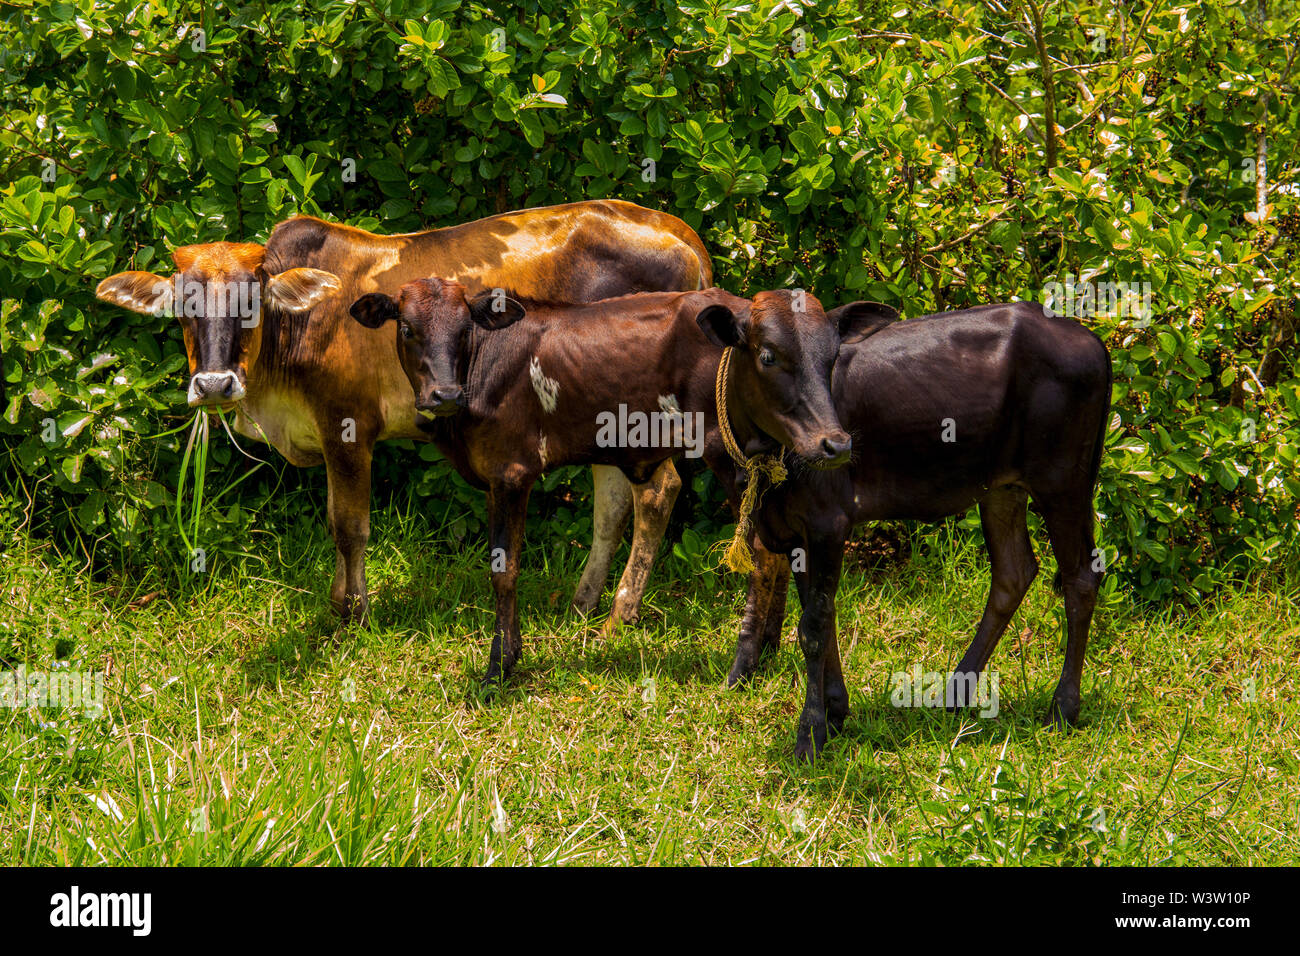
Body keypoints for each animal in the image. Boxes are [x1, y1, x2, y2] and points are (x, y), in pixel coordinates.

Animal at [94, 200, 710, 625]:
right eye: (183, 303)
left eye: (252, 301)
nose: (215, 383)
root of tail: (675, 231)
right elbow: (335, 523)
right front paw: (340, 604)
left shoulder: (348, 426)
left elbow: (350, 528)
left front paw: (354, 614)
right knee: (613, 504)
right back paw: (583, 605)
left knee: (658, 494)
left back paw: (617, 617)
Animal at [347, 279, 884, 685]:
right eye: (408, 328)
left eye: (463, 330)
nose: (444, 394)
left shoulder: (511, 473)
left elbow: (504, 570)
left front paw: (500, 667)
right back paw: (766, 650)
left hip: (727, 455)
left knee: (760, 555)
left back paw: (744, 665)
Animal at [712, 301, 1112, 760]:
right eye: (768, 356)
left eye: (831, 359)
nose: (836, 445)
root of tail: (1087, 337)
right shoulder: (796, 533)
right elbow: (822, 617)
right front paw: (835, 711)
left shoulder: (828, 522)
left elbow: (813, 626)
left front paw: (811, 733)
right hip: (1001, 487)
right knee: (1014, 572)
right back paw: (957, 692)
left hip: (1062, 483)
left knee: (1081, 578)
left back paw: (1062, 707)